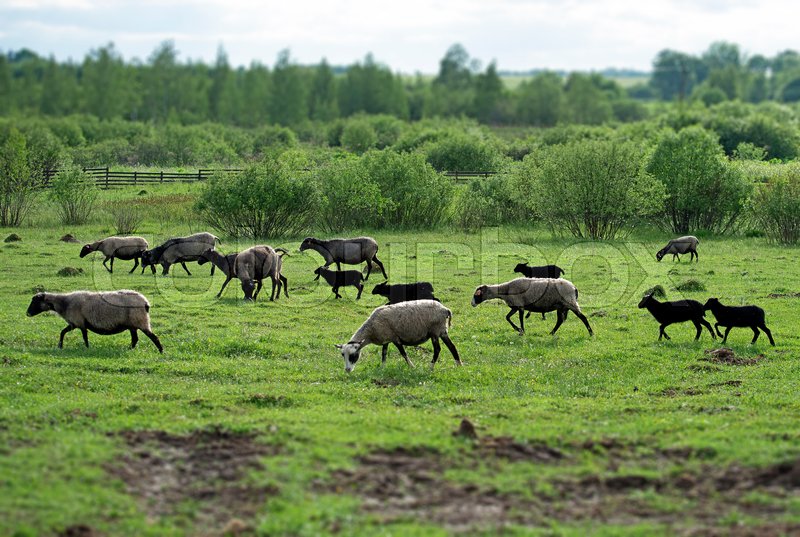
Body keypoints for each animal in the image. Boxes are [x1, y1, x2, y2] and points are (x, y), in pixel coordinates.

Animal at [26, 290, 163, 352]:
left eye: (35, 301)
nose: (27, 313)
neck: (64, 303)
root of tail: (146, 303)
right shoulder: (74, 323)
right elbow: (62, 332)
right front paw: (60, 346)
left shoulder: (80, 323)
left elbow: (84, 336)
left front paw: (87, 347)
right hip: (133, 325)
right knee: (135, 339)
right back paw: (129, 349)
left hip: (140, 321)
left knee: (154, 337)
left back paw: (161, 351)